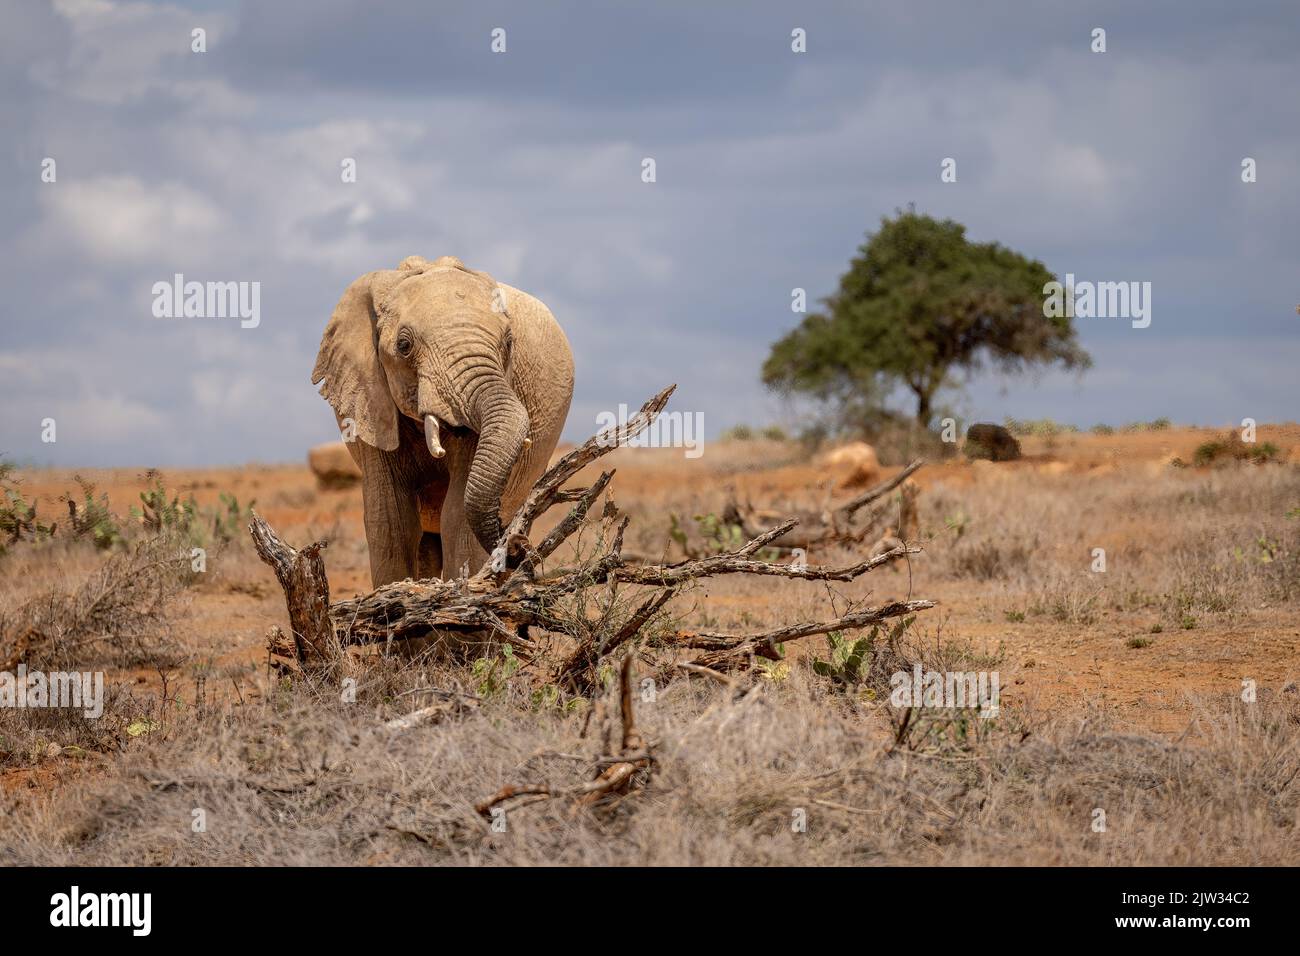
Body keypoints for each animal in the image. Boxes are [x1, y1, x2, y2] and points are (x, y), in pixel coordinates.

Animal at [312, 255, 574, 587]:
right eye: (404, 346)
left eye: (508, 342)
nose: (518, 546)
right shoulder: (369, 399)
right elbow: (391, 517)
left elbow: (456, 512)